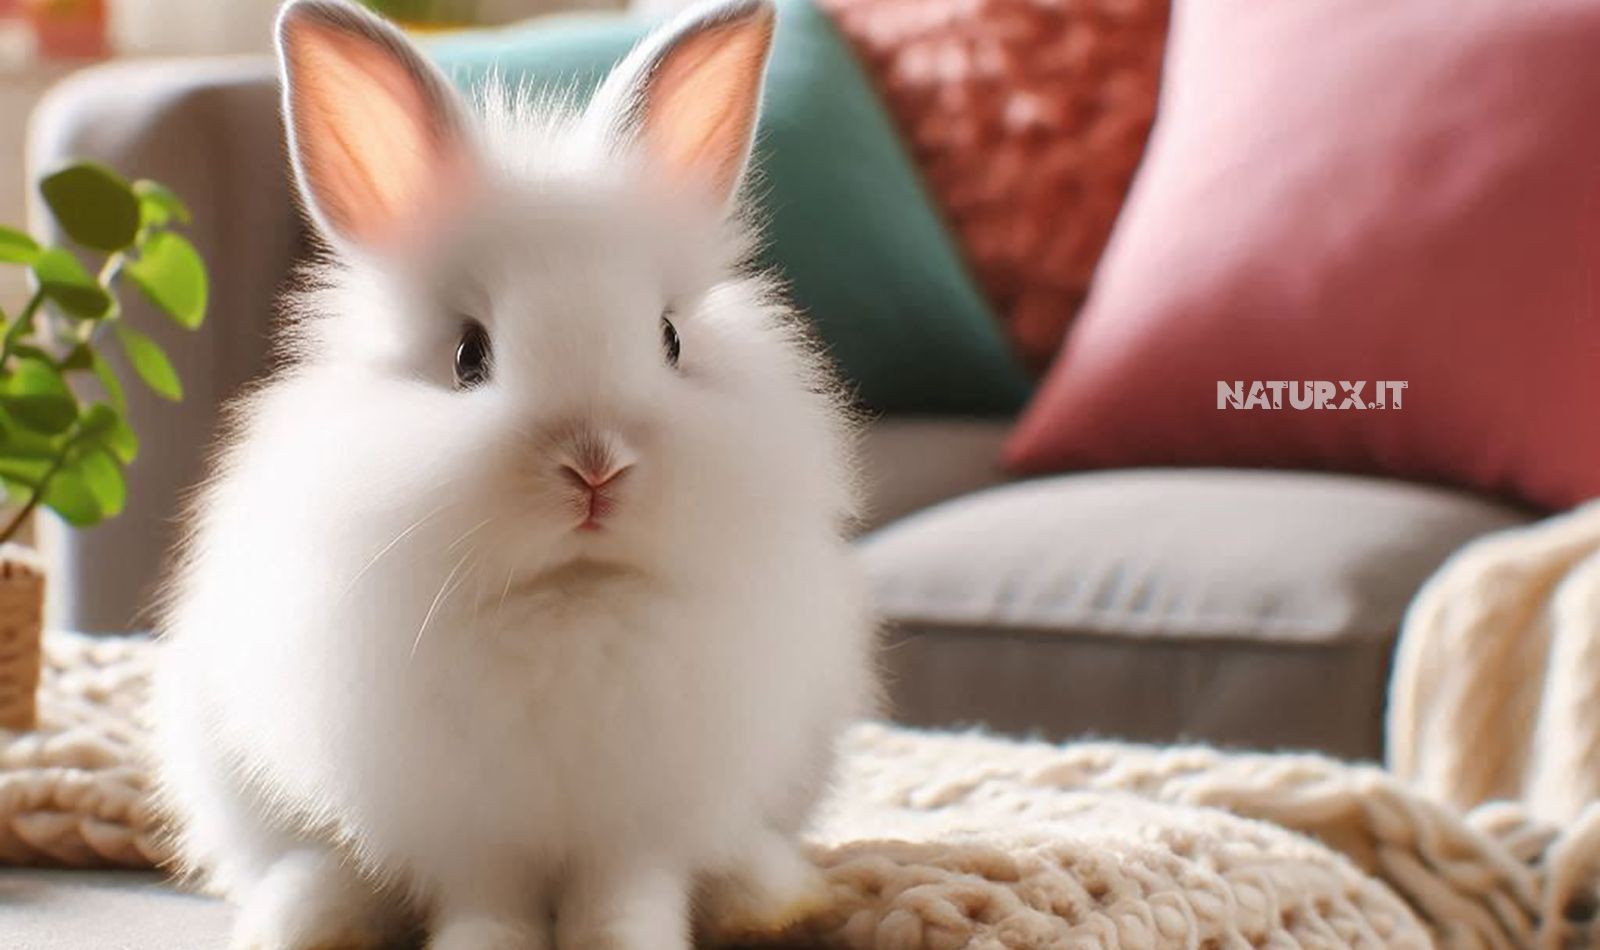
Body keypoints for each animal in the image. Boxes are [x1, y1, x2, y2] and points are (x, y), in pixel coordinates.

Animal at [147, 1, 880, 948]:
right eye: (469, 356)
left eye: (671, 339)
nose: (596, 467)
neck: (568, 598)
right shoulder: (466, 830)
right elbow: (486, 901)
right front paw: (482, 944)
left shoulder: (640, 827)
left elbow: (627, 897)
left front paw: (629, 943)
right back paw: (305, 916)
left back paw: (774, 901)